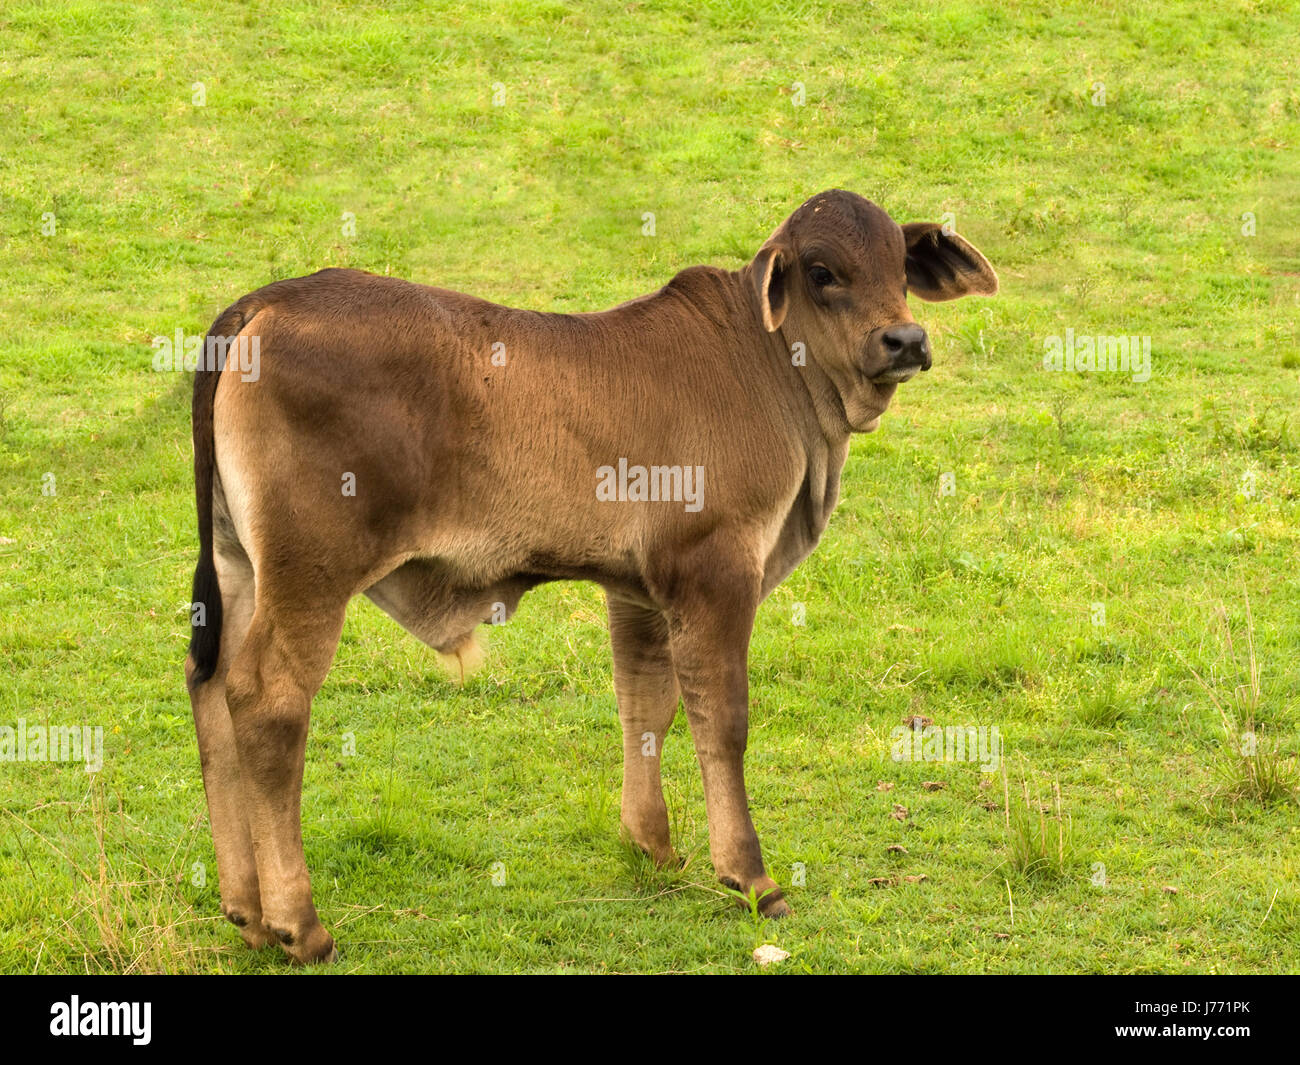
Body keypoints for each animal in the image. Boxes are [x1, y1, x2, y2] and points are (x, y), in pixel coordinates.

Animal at [185, 189, 997, 963]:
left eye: (901, 270)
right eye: (824, 273)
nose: (906, 340)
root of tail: (267, 300)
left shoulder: (639, 591)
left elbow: (647, 706)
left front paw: (653, 845)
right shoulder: (714, 571)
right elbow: (722, 720)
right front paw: (751, 877)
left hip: (237, 566)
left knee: (211, 684)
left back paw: (246, 911)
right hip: (309, 571)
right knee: (266, 698)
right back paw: (298, 924)